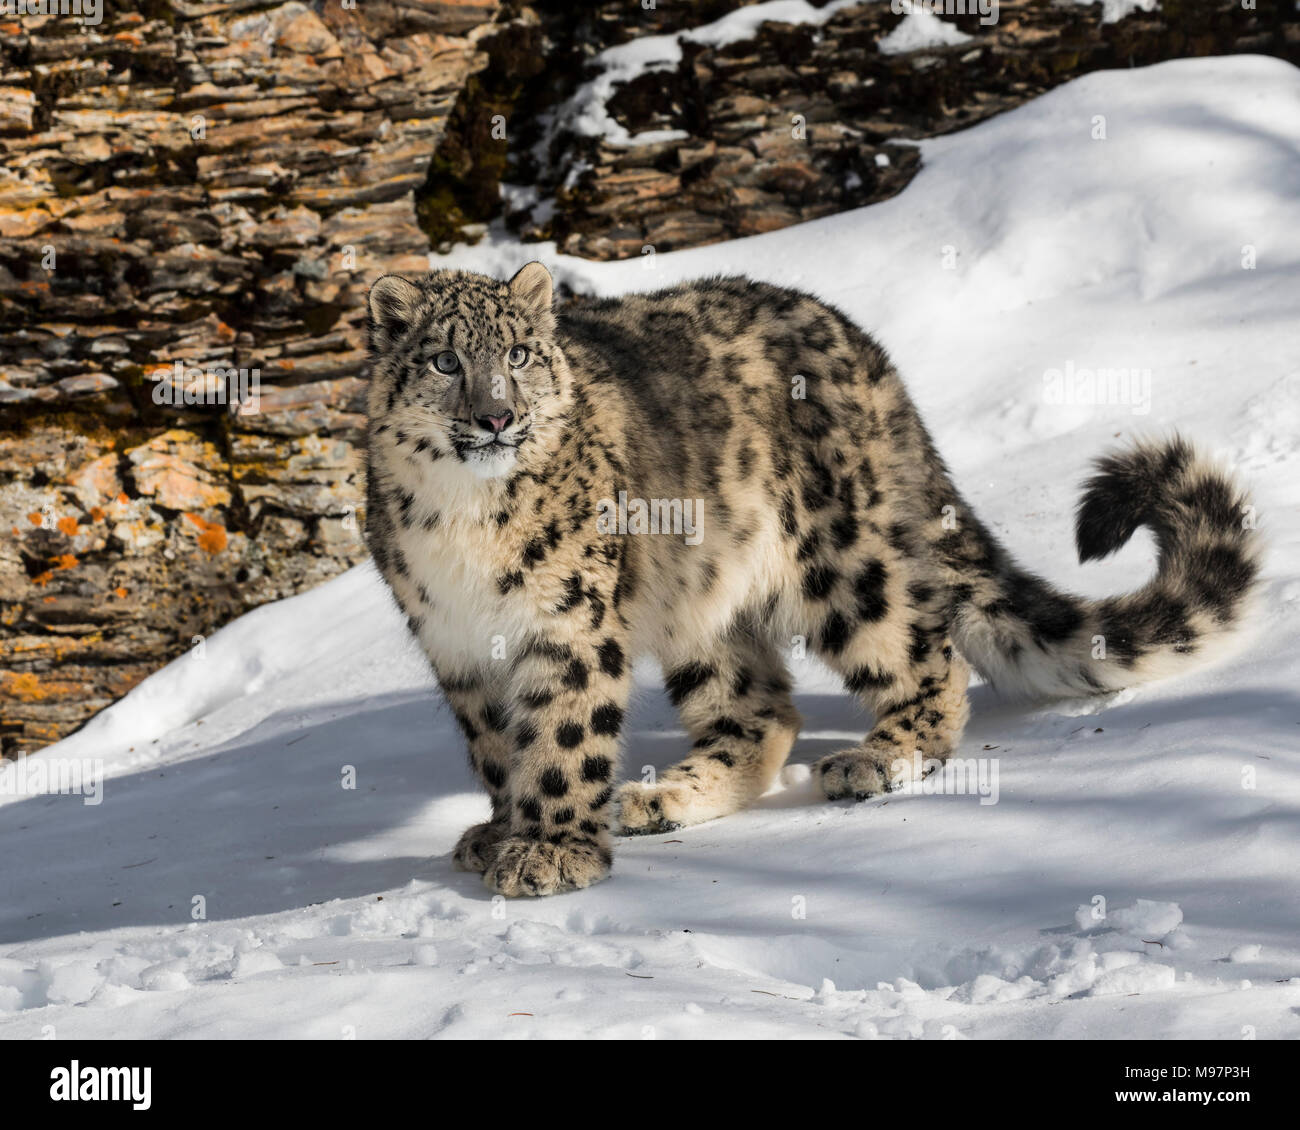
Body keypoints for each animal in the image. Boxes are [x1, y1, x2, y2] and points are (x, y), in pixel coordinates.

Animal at [362, 262, 1261, 897]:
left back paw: (878, 758)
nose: (496, 416)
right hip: (704, 602)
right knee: (761, 709)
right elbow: (494, 747)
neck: (464, 521)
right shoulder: (455, 644)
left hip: (844, 559)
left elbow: (562, 736)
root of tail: (858, 341)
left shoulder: (568, 620)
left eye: (517, 353)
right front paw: (499, 830)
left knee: (927, 656)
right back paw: (666, 796)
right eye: (444, 359)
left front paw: (548, 851)